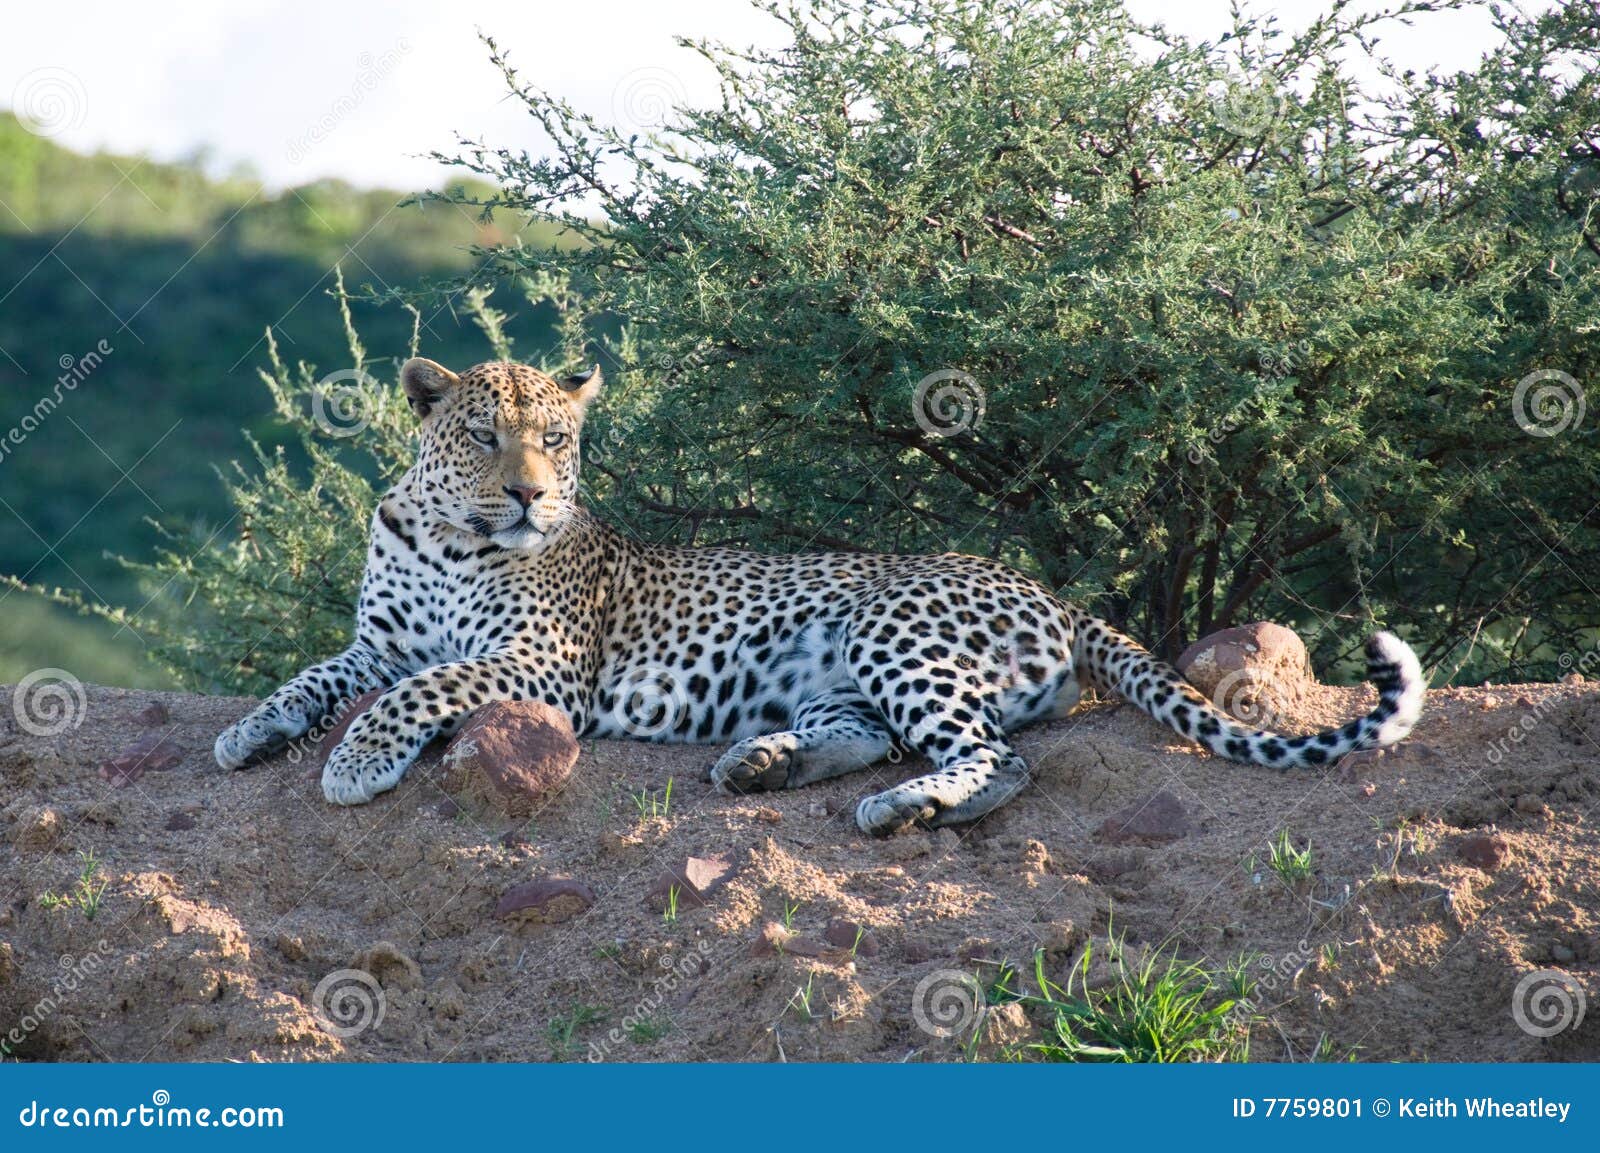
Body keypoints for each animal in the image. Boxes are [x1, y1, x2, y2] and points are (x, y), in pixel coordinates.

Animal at [215, 356, 1427, 836]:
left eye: (555, 439)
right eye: (484, 435)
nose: (530, 493)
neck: (449, 536)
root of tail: (1042, 584)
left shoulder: (540, 667)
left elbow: (416, 693)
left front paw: (356, 764)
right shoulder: (379, 640)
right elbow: (319, 674)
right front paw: (250, 731)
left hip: (900, 630)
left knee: (998, 758)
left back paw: (906, 809)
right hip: (837, 671)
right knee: (875, 735)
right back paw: (763, 763)